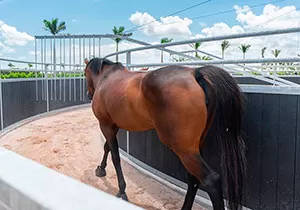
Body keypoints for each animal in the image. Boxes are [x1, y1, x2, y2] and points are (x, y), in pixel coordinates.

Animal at [84, 57, 246, 210]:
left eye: (85, 74)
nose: (88, 94)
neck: (106, 78)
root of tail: (195, 73)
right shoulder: (113, 125)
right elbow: (107, 147)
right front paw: (101, 169)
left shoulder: (105, 125)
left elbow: (115, 156)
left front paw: (122, 190)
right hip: (194, 147)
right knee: (193, 179)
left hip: (184, 149)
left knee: (210, 180)